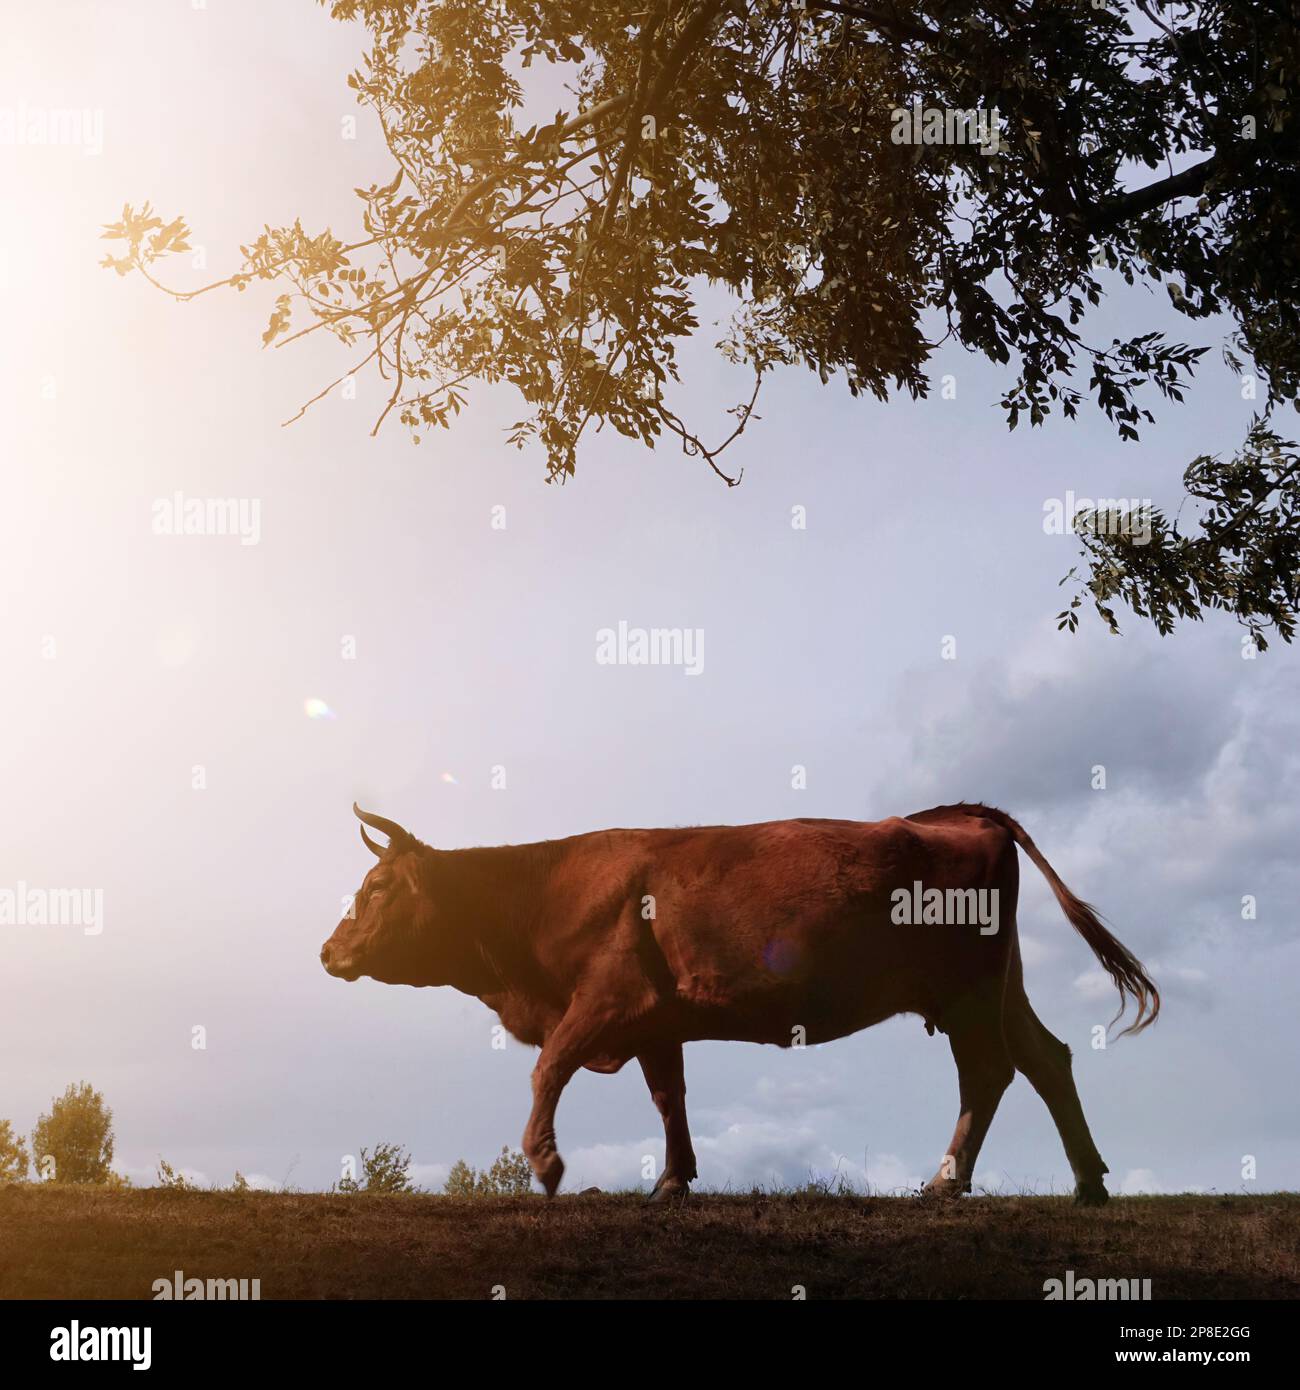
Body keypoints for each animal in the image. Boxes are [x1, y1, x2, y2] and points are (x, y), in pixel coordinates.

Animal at [321, 801, 1158, 1205]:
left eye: (378, 887)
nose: (328, 952)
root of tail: (957, 815)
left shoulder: (608, 998)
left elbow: (548, 1069)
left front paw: (548, 1163)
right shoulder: (655, 1020)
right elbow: (669, 1096)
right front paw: (672, 1180)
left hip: (967, 995)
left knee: (990, 1073)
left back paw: (947, 1181)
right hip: (998, 988)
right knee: (1047, 1059)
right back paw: (1088, 1182)